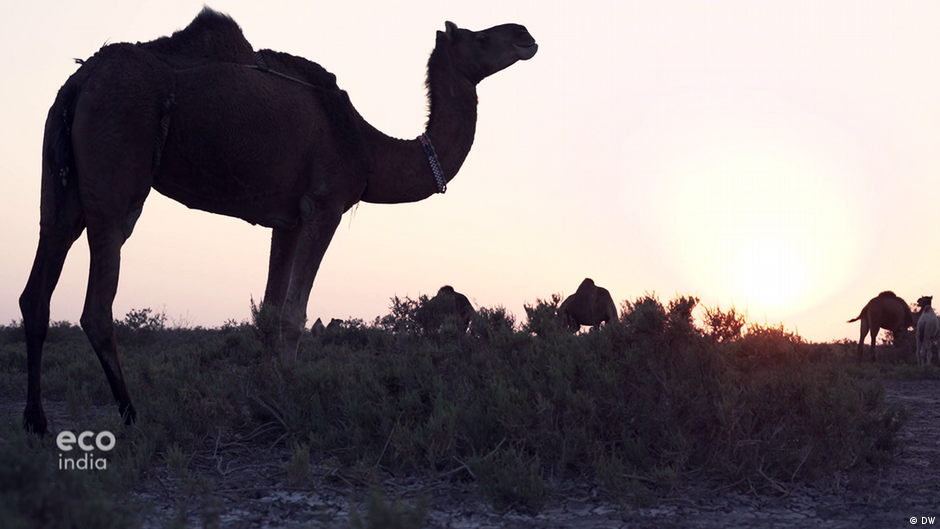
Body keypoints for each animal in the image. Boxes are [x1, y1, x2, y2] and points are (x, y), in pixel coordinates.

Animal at [19, 8, 537, 435]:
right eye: (476, 36)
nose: (525, 34)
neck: (368, 149)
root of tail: (79, 81)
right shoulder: (323, 206)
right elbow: (293, 315)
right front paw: (294, 400)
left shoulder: (286, 222)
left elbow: (268, 314)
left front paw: (264, 401)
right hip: (117, 174)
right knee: (96, 304)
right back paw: (131, 417)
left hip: (62, 187)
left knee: (37, 287)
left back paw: (36, 422)